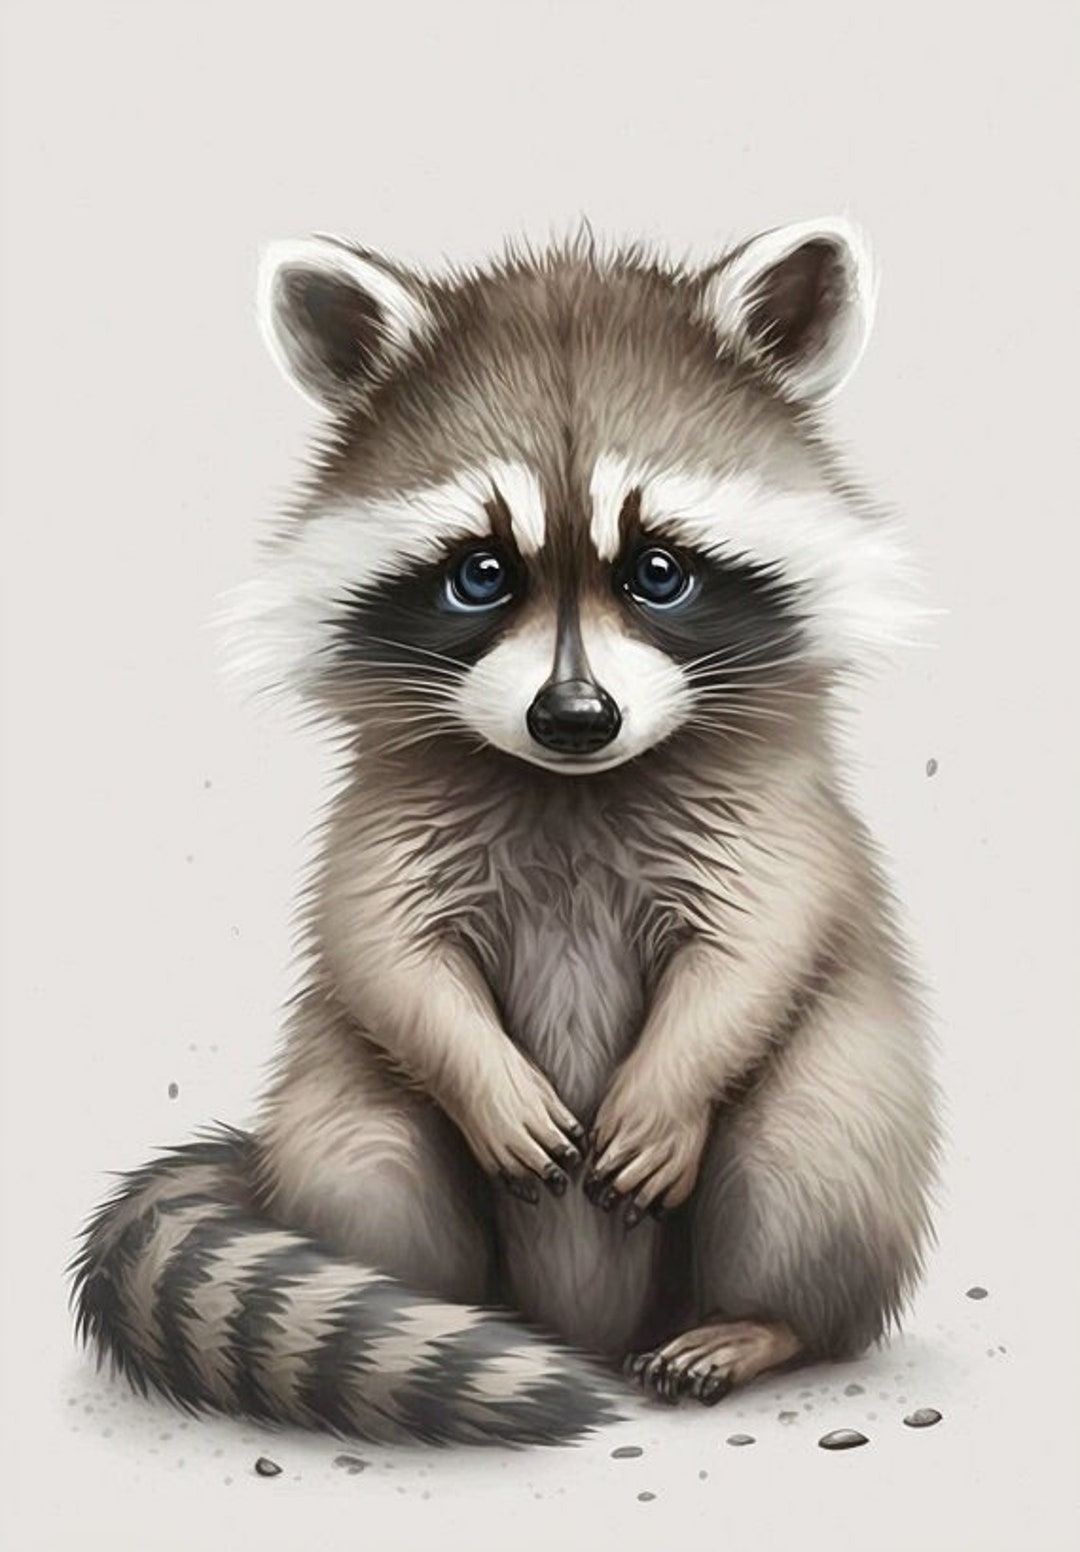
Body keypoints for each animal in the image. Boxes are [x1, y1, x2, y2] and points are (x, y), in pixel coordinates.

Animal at [71, 218, 940, 1445]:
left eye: (658, 570)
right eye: (481, 573)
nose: (574, 716)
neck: (572, 783)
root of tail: (584, 1327)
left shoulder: (769, 817)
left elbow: (758, 945)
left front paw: (676, 1077)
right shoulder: (385, 817)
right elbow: (382, 948)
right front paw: (475, 1066)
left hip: (846, 1093)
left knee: (811, 1154)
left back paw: (760, 1320)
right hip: (338, 1111)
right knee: (367, 1161)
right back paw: (426, 1311)